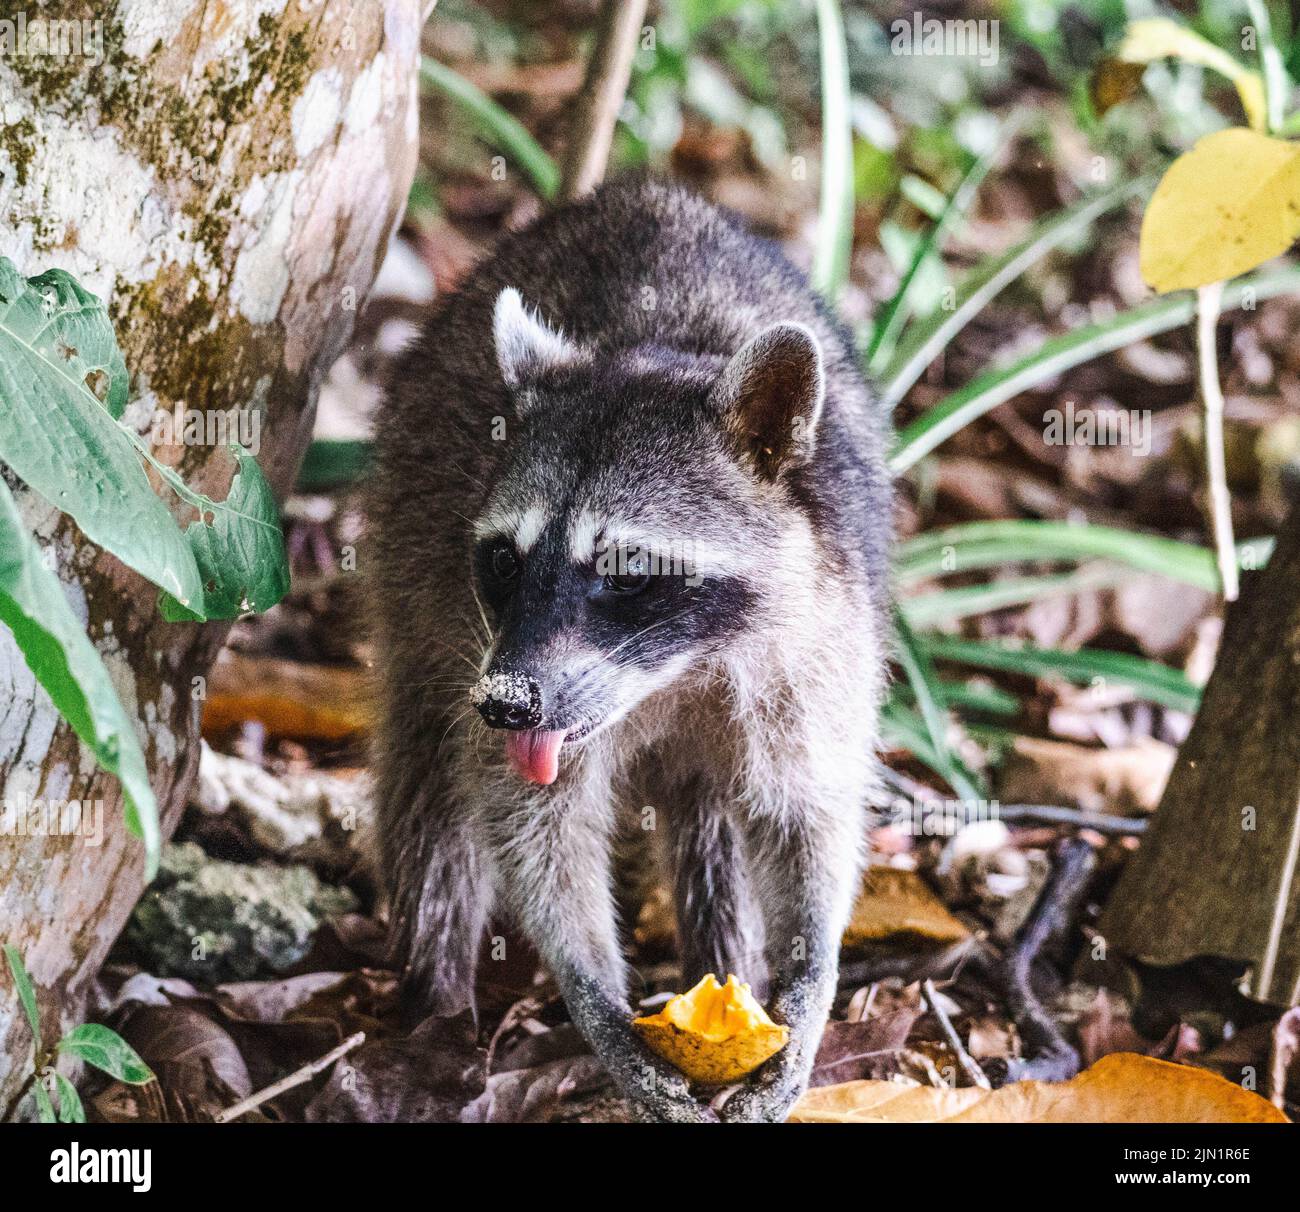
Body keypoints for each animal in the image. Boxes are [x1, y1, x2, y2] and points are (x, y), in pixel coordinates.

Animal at [368, 176, 892, 1122]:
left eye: (627, 571)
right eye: (506, 561)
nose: (506, 703)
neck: (672, 673)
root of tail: (645, 193)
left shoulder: (820, 642)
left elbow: (804, 816)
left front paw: (810, 977)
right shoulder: (488, 646)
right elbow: (531, 821)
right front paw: (595, 1000)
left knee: (717, 824)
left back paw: (726, 961)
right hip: (409, 567)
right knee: (428, 791)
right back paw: (436, 1002)